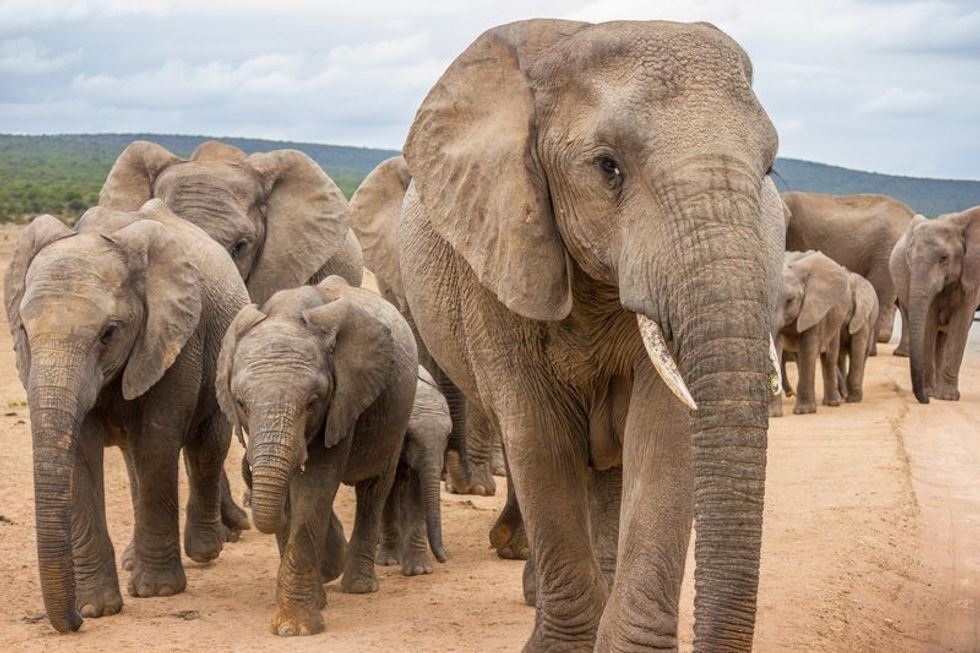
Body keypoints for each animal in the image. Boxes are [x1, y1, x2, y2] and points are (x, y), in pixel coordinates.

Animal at [3, 199, 249, 633]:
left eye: (109, 333)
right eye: (24, 331)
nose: (73, 624)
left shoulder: (175, 336)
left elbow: (156, 440)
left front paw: (157, 591)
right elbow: (80, 455)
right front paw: (95, 609)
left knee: (205, 446)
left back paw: (204, 550)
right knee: (137, 459)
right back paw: (135, 560)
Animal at [215, 276, 418, 636]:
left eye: (312, 403)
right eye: (241, 403)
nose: (247, 469)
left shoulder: (341, 400)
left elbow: (314, 489)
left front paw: (294, 628)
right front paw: (315, 601)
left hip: (396, 416)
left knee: (374, 489)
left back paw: (359, 586)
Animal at [378, 366, 452, 575]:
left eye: (448, 436)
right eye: (408, 435)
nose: (444, 558)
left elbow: (418, 490)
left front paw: (419, 570)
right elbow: (388, 488)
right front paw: (388, 562)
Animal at [775, 251, 852, 415]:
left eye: (790, 300)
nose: (846, 395)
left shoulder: (815, 308)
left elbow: (809, 348)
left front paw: (804, 412)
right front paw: (775, 415)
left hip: (835, 320)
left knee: (829, 357)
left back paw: (832, 403)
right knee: (801, 357)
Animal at [889, 207, 980, 403]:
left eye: (943, 258)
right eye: (908, 257)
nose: (925, 401)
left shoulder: (970, 280)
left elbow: (960, 325)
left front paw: (948, 397)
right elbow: (929, 323)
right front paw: (930, 393)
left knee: (944, 338)